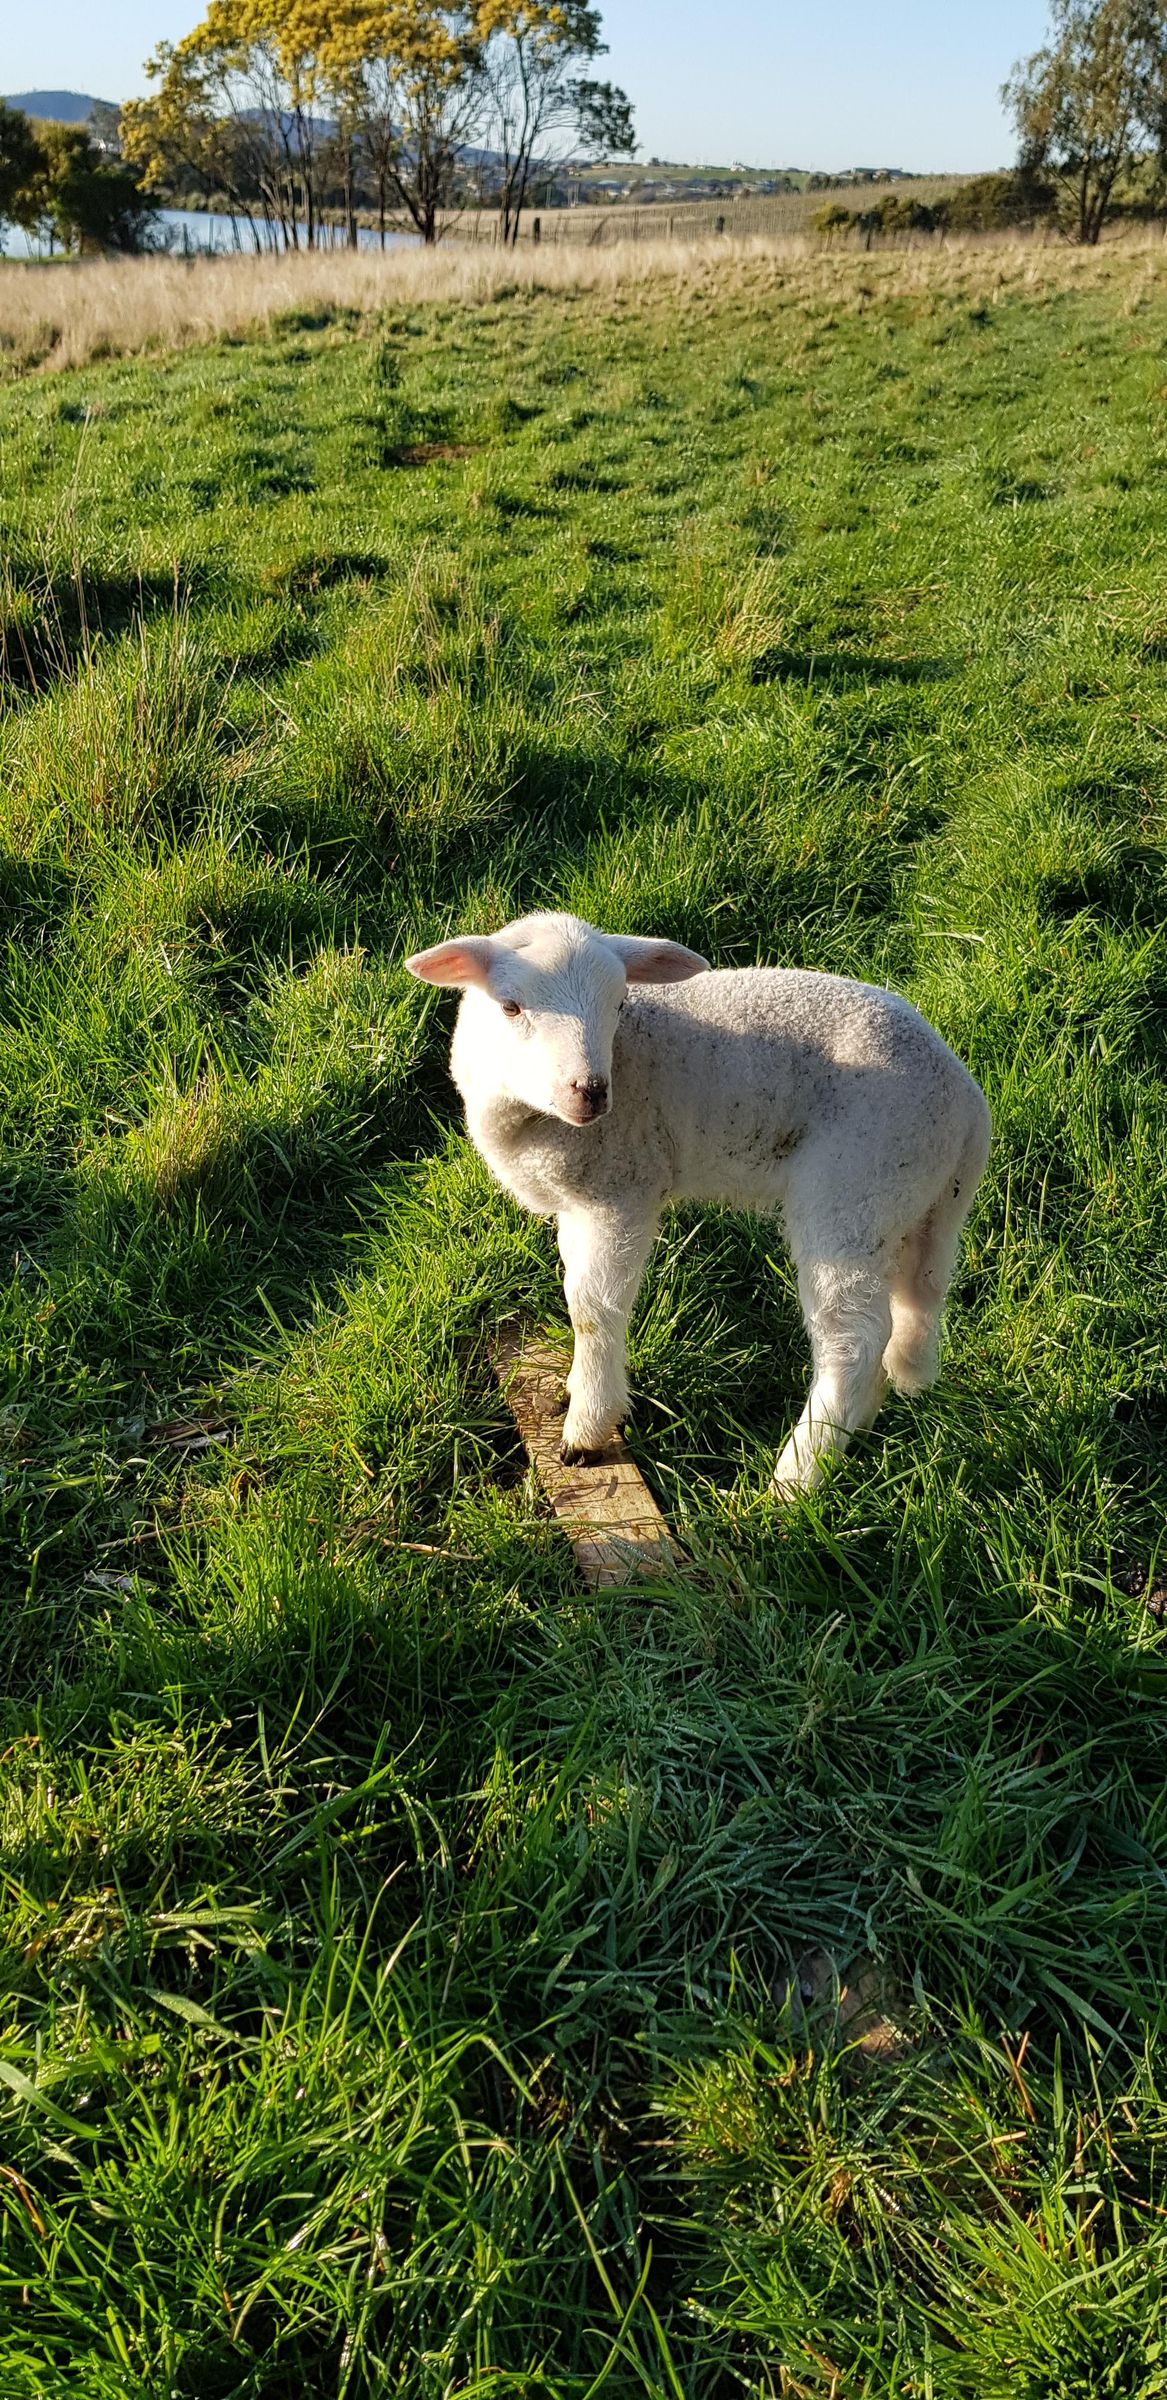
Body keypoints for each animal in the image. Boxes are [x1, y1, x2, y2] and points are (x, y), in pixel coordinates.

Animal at [406, 912, 991, 1496]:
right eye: (510, 1006)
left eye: (620, 1002)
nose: (591, 1091)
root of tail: (965, 1102)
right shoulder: (580, 1198)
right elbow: (575, 1292)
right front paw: (578, 1388)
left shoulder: (623, 1188)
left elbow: (593, 1308)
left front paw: (587, 1429)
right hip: (908, 1200)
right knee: (907, 1309)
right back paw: (855, 1432)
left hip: (853, 1185)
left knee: (855, 1339)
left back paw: (795, 1478)